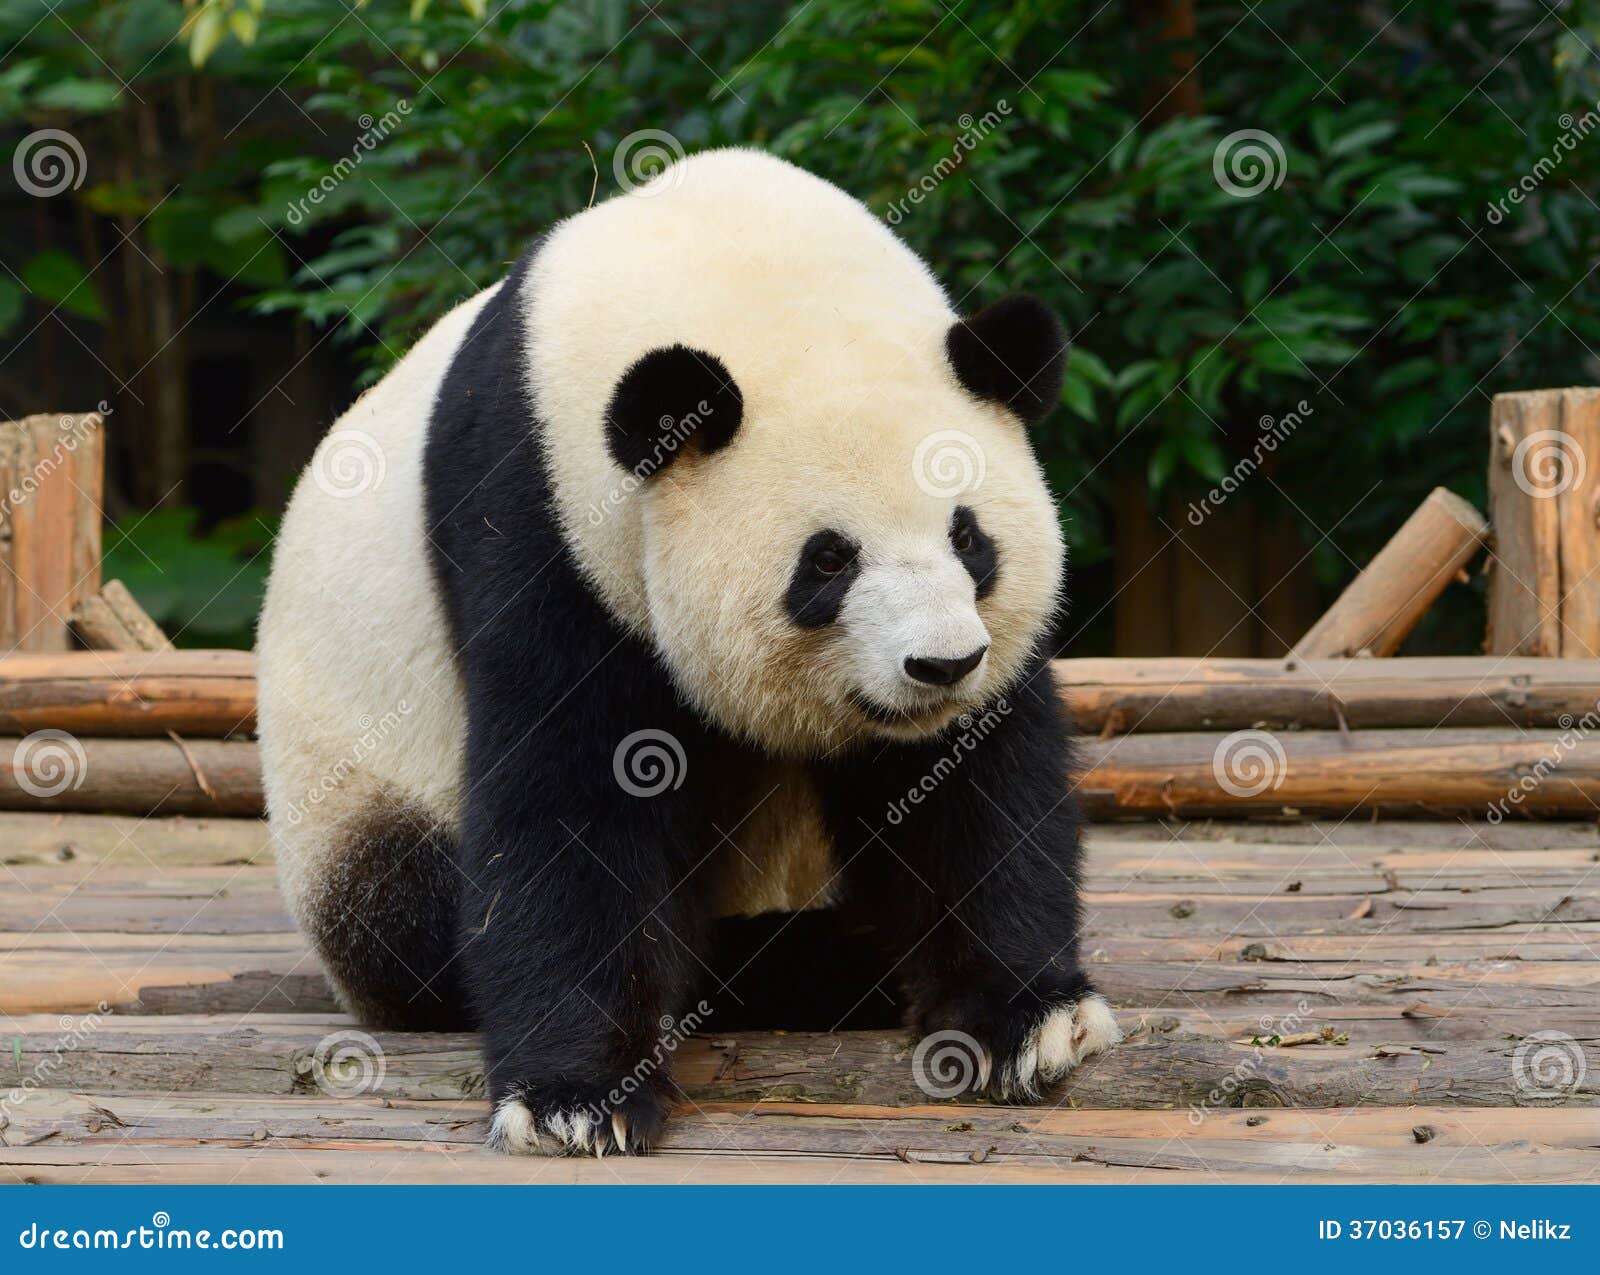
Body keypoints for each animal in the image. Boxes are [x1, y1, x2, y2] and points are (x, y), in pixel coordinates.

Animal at [257, 147, 1120, 1156]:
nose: (939, 666)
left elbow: (972, 782)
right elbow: (572, 790)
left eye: (970, 539)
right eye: (828, 559)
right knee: (402, 912)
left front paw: (1024, 1018)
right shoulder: (541, 515)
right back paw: (795, 962)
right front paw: (581, 1094)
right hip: (346, 791)